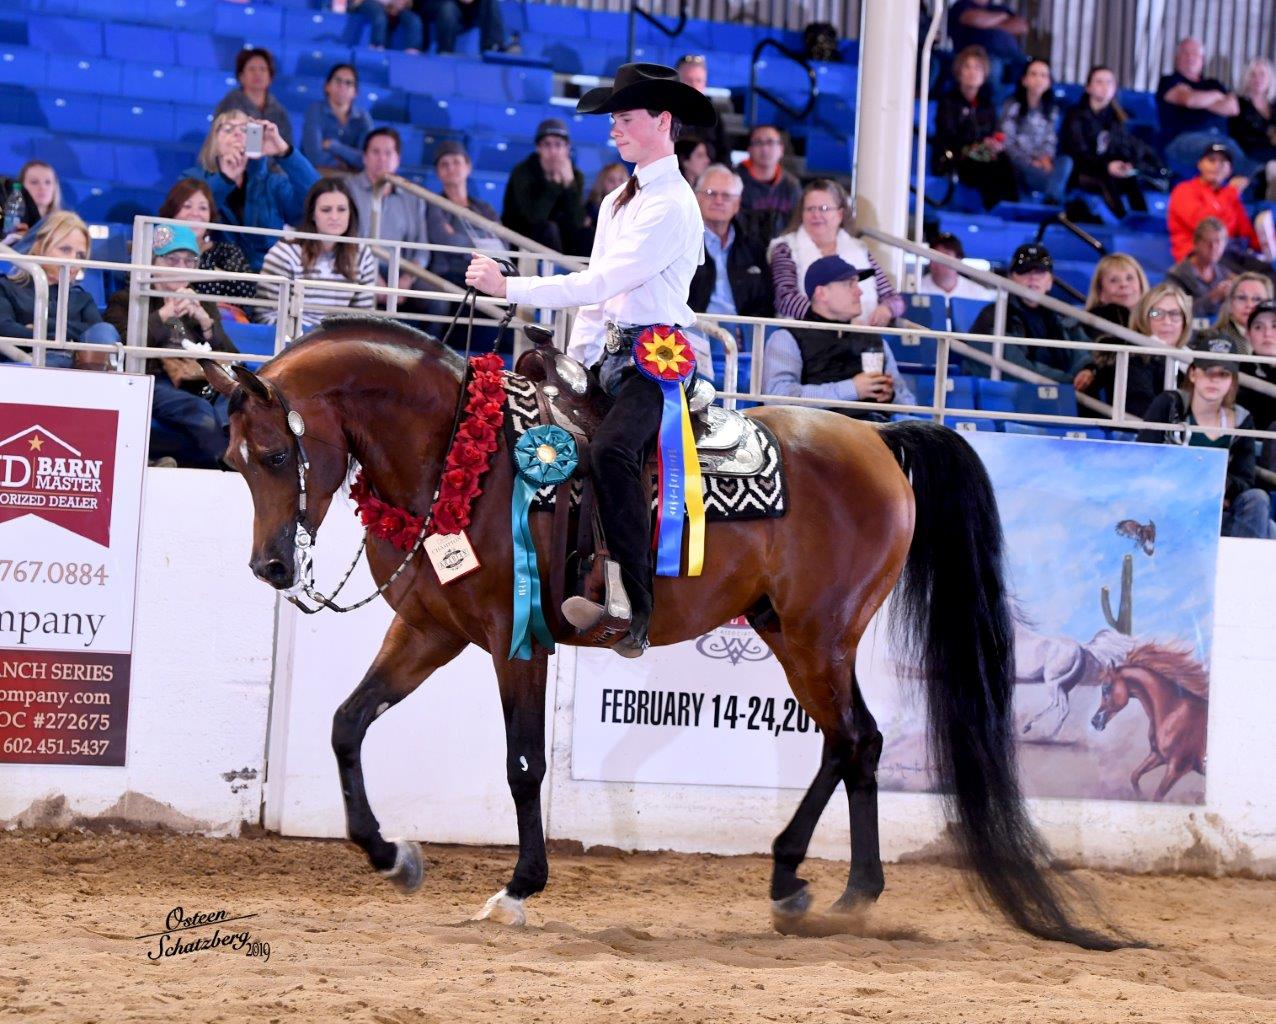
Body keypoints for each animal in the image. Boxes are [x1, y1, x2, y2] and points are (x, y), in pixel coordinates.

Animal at [201, 317, 1126, 950]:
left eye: (277, 456)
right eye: (234, 461)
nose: (270, 567)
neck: (461, 453)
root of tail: (880, 438)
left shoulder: (514, 639)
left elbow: (524, 765)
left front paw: (519, 887)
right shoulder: (431, 629)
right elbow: (346, 724)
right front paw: (391, 855)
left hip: (819, 636)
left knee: (856, 740)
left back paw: (841, 890)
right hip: (793, 635)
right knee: (851, 742)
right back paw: (806, 884)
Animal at [1091, 643, 1209, 801]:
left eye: (1107, 687)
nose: (1094, 721)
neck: (1174, 711)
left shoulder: (1177, 768)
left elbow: (1157, 797)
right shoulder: (1157, 756)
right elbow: (1134, 776)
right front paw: (1141, 798)